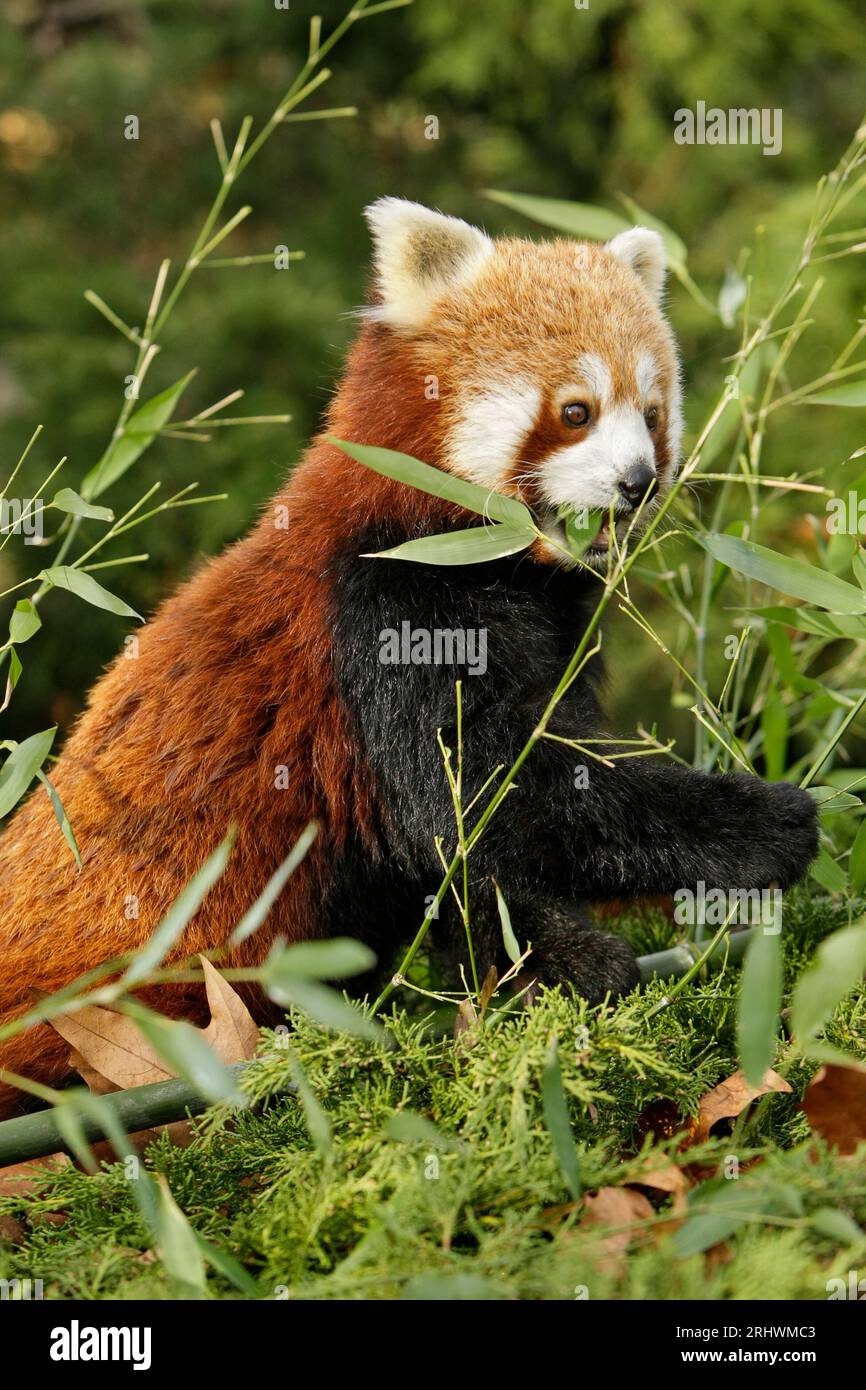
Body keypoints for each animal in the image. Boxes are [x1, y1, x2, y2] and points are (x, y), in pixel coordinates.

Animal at [0, 199, 818, 1112]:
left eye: (650, 412)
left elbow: (483, 848)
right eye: (575, 411)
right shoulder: (384, 614)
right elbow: (489, 800)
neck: (468, 548)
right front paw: (756, 823)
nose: (639, 481)